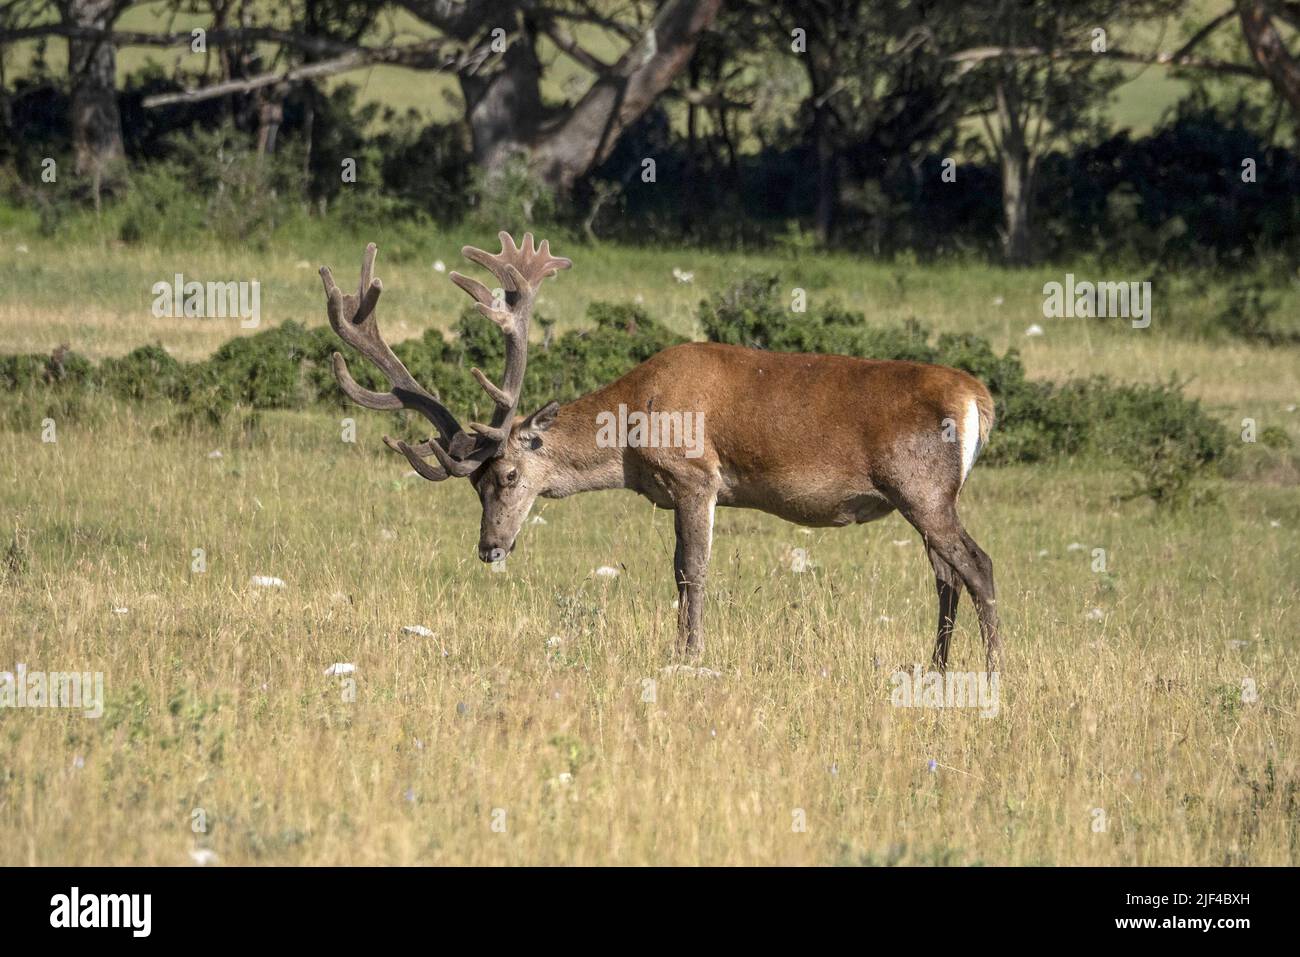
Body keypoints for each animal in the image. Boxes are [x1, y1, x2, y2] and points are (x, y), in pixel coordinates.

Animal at [319, 233, 1001, 671]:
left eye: (509, 474)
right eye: (475, 484)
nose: (490, 547)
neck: (631, 430)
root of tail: (979, 398)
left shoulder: (695, 475)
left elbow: (691, 570)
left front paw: (689, 654)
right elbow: (681, 569)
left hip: (922, 486)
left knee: (977, 563)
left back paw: (995, 670)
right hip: (925, 497)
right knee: (945, 575)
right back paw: (938, 667)